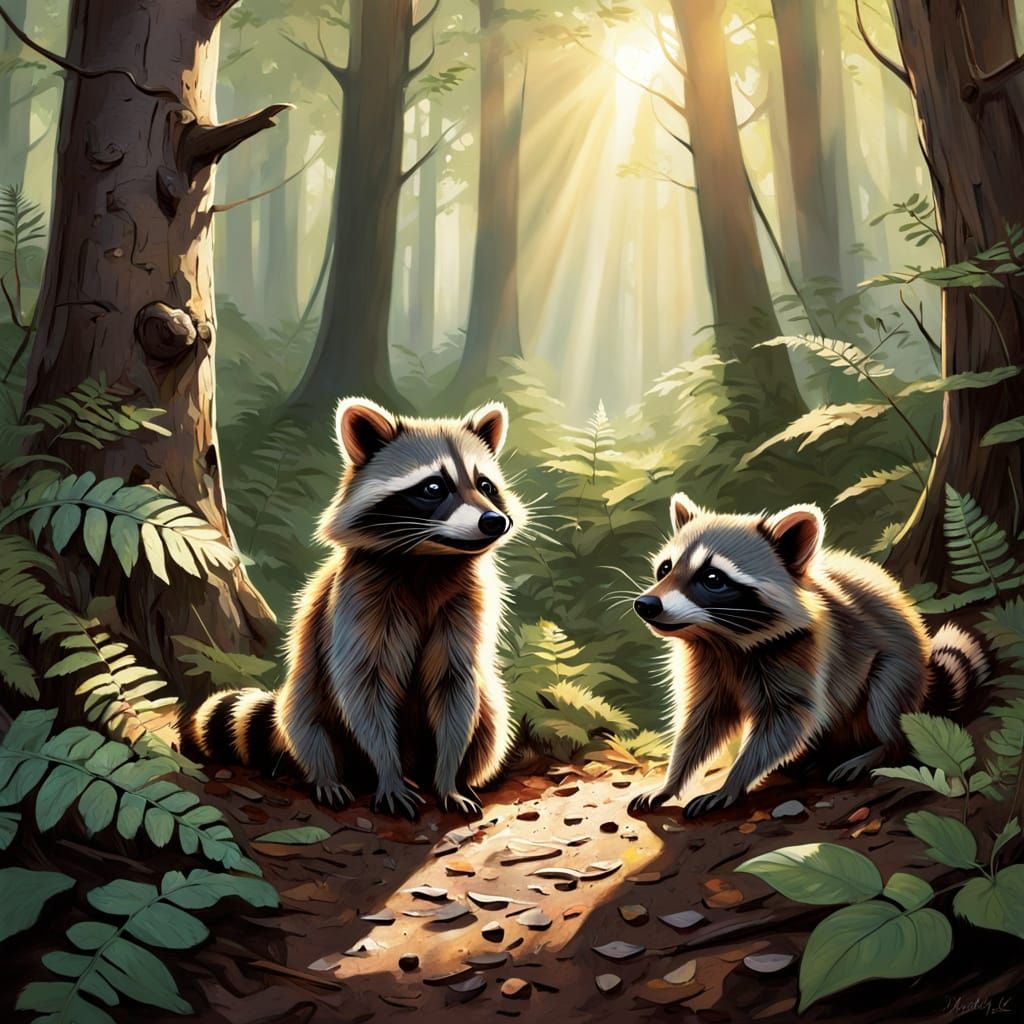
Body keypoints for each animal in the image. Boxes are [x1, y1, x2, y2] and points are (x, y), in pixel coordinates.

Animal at [185, 398, 522, 817]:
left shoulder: (466, 601)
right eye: (433, 487)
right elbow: (364, 687)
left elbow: (454, 683)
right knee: (307, 724)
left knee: (490, 717)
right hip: (305, 699)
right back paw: (329, 776)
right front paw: (388, 774)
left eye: (485, 485)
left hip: (488, 714)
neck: (429, 560)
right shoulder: (356, 598)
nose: (494, 521)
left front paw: (447, 777)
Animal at [629, 492, 988, 819]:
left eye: (712, 578)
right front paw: (671, 781)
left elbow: (787, 720)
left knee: (887, 703)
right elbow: (700, 722)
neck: (722, 638)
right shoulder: (707, 665)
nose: (645, 605)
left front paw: (734, 781)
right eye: (665, 568)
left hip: (900, 665)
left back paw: (881, 748)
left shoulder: (806, 651)